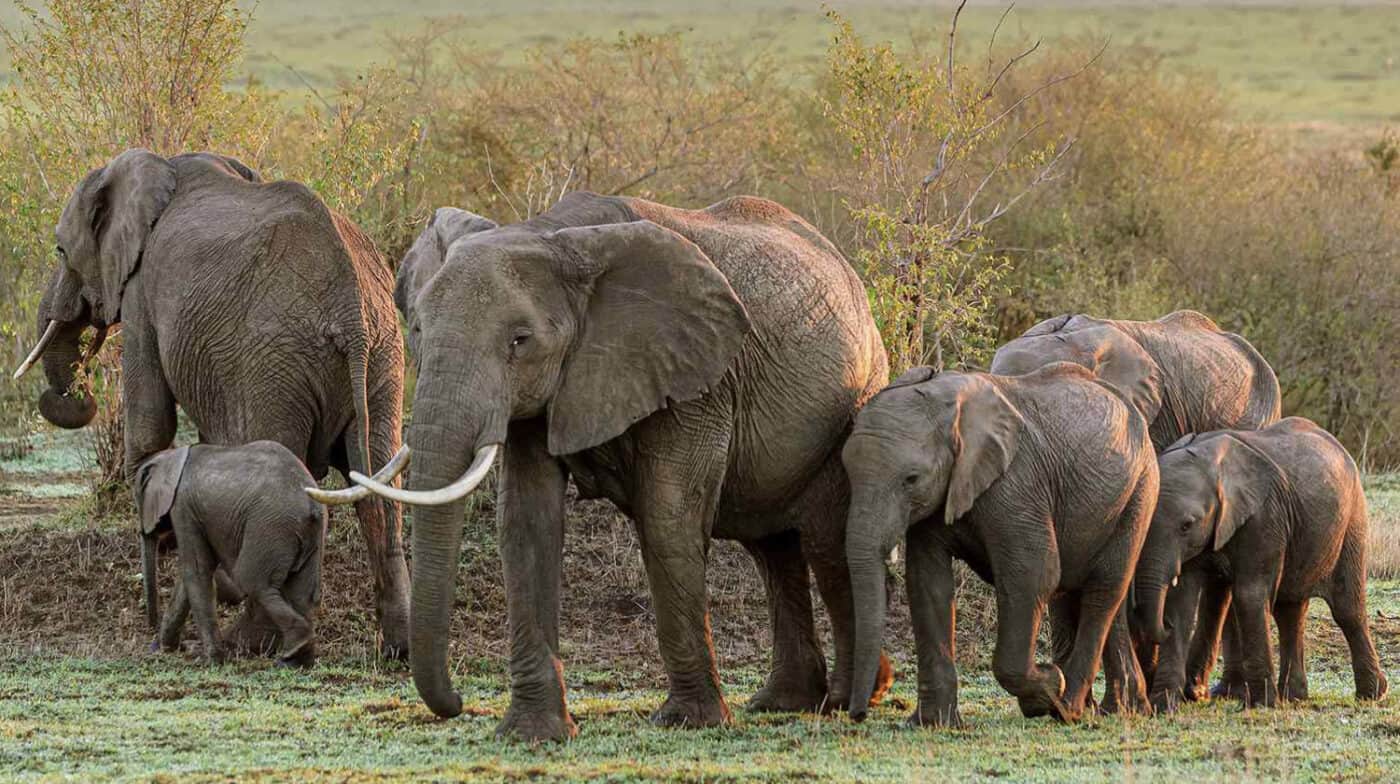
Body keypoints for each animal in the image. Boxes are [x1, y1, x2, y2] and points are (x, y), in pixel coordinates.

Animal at [136, 441, 328, 666]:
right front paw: (166, 648)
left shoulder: (183, 506)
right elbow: (189, 576)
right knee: (301, 592)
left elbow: (196, 570)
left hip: (270, 527)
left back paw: (296, 645)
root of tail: (311, 505)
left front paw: (210, 660)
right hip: (310, 533)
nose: (152, 628)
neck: (172, 456)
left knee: (252, 582)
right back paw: (297, 659)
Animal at [335, 191, 892, 741]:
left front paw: (687, 721)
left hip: (852, 407)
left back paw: (855, 698)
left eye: (520, 341)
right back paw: (784, 702)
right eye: (417, 329)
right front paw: (533, 733)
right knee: (771, 548)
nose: (456, 704)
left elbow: (667, 516)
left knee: (823, 542)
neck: (551, 235)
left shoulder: (694, 375)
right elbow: (527, 522)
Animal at [843, 363, 1159, 726]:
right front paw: (932, 724)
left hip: (1140, 491)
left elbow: (1034, 573)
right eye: (847, 472)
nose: (858, 714)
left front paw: (1047, 689)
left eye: (911, 479)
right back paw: (1123, 709)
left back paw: (1068, 708)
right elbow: (927, 583)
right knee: (1102, 594)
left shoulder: (1017, 484)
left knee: (1104, 589)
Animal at [1132, 418, 1388, 710]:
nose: (1163, 626)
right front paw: (1164, 706)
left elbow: (1249, 595)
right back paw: (1294, 696)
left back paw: (1371, 694)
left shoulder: (1264, 517)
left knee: (1347, 609)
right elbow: (1181, 600)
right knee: (1289, 612)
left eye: (1186, 526)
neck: (1212, 464)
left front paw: (1262, 705)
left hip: (1352, 522)